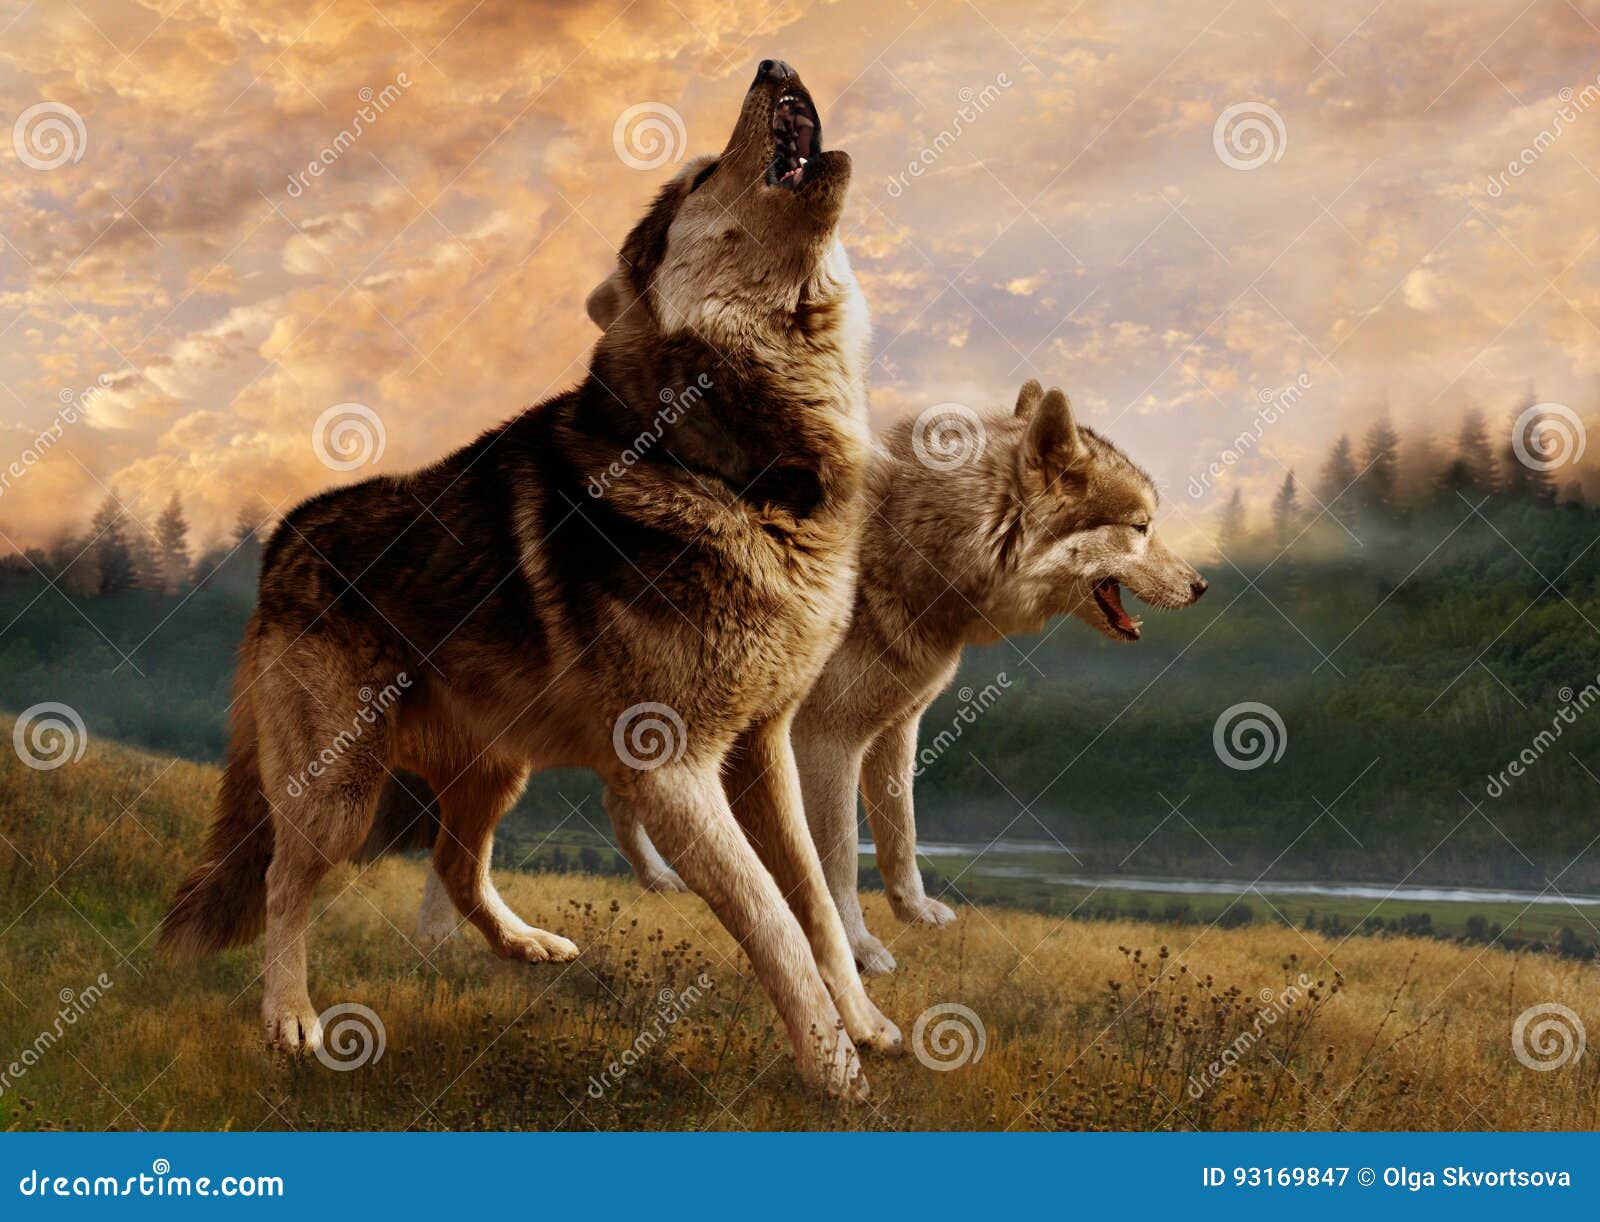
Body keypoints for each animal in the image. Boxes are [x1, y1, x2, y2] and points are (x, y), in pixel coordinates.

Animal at [161, 59, 900, 1098]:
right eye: (701, 174)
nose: (772, 65)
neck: (743, 472)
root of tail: (283, 535)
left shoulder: (763, 748)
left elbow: (822, 909)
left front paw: (866, 1027)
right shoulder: (675, 775)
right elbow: (774, 925)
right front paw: (836, 1075)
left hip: (495, 771)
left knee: (456, 867)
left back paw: (525, 947)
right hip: (341, 795)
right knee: (281, 885)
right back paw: (292, 1019)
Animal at [571, 381, 1209, 973]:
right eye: (1141, 527)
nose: (1202, 585)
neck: (913, 552)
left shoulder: (897, 728)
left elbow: (900, 833)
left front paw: (914, 913)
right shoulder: (825, 744)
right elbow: (838, 863)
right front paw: (857, 950)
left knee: (617, 797)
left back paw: (660, 882)